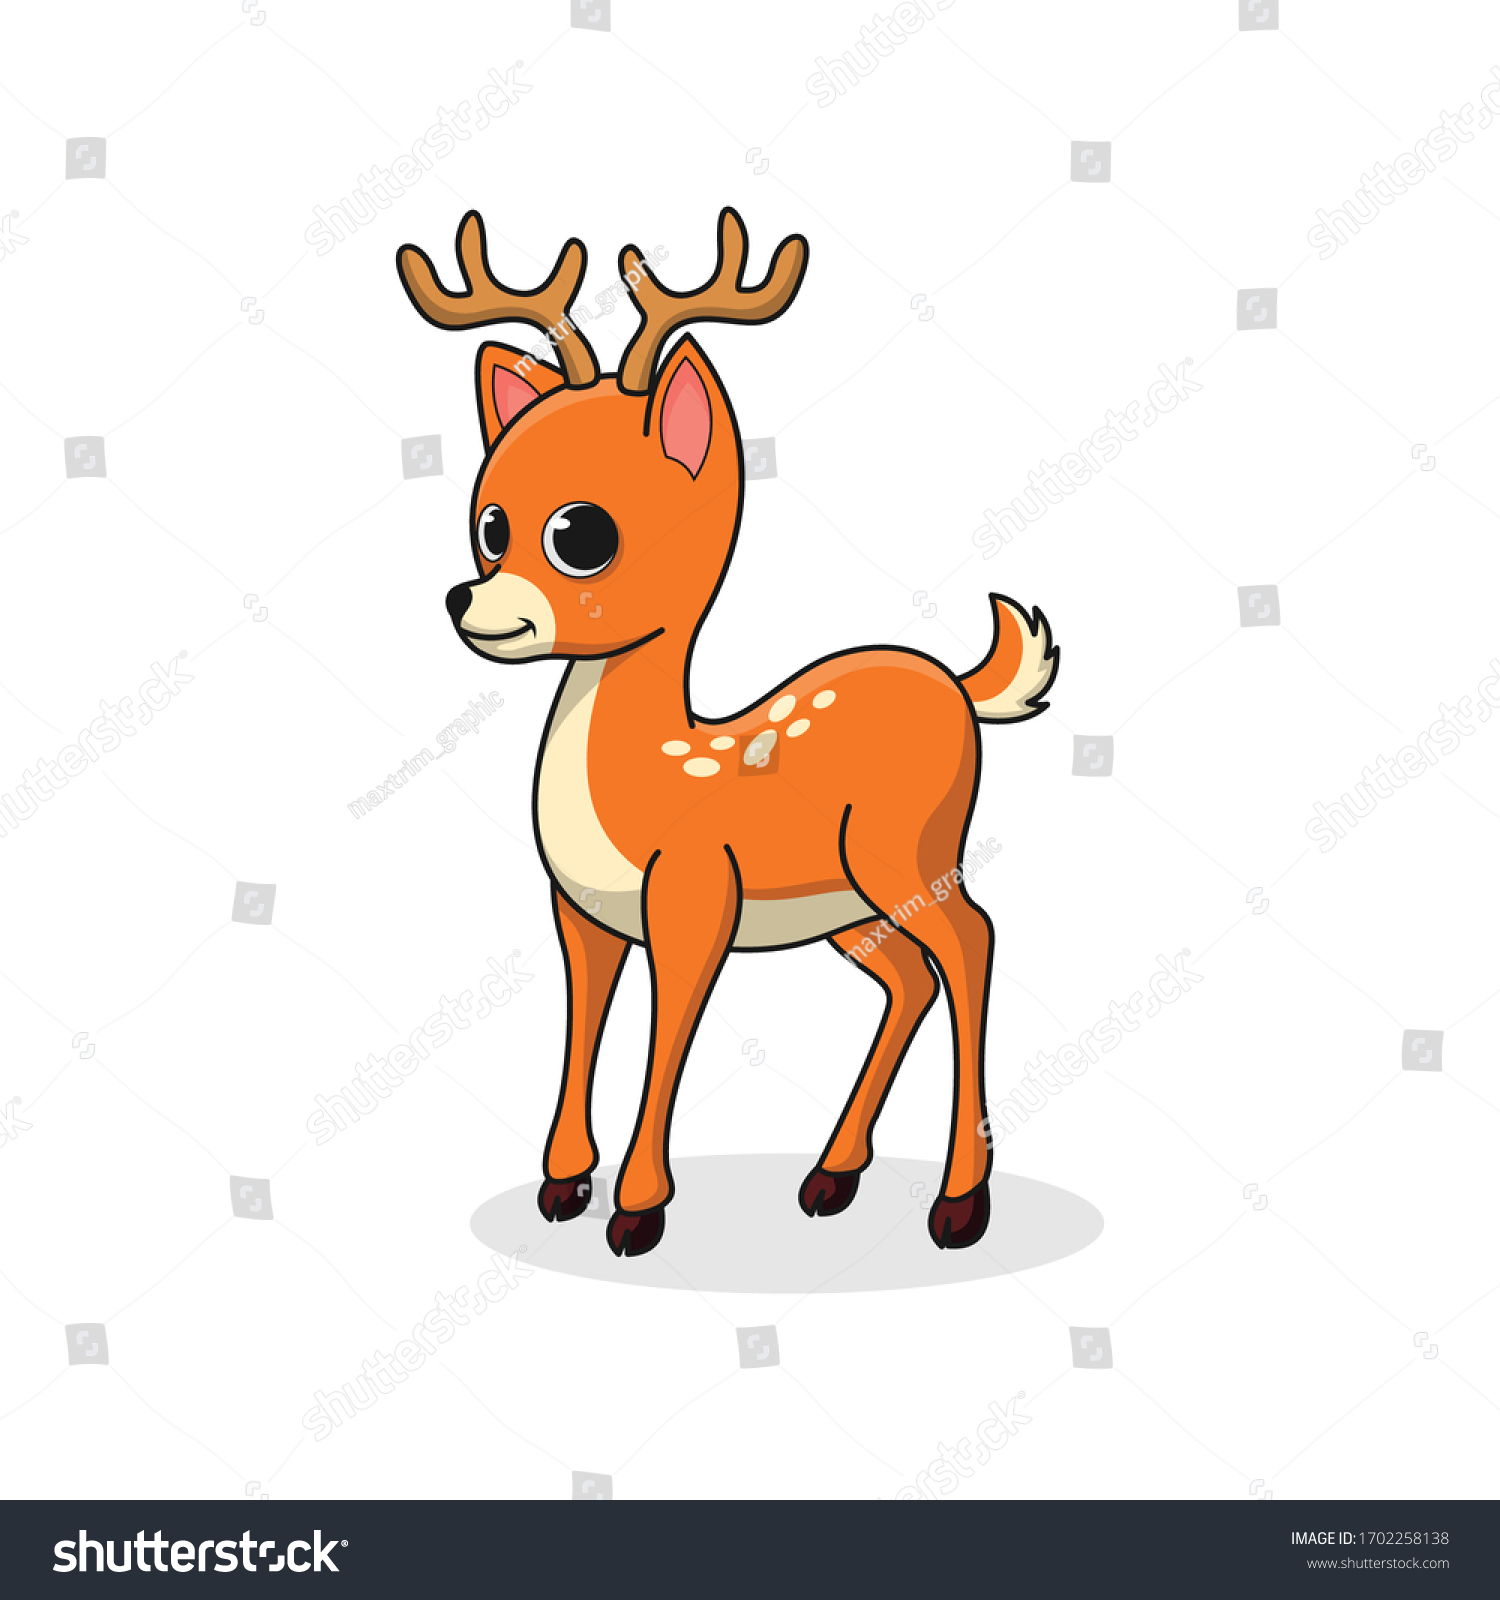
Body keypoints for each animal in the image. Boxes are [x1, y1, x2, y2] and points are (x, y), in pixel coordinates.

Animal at [396, 207, 1058, 1258]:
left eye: (581, 533)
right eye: (489, 523)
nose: (467, 603)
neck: (651, 772)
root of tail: (957, 684)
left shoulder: (696, 894)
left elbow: (668, 1035)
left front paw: (638, 1210)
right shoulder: (581, 909)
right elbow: (585, 1022)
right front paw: (562, 1185)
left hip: (909, 850)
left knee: (973, 942)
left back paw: (960, 1203)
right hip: (848, 905)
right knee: (908, 978)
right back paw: (831, 1178)